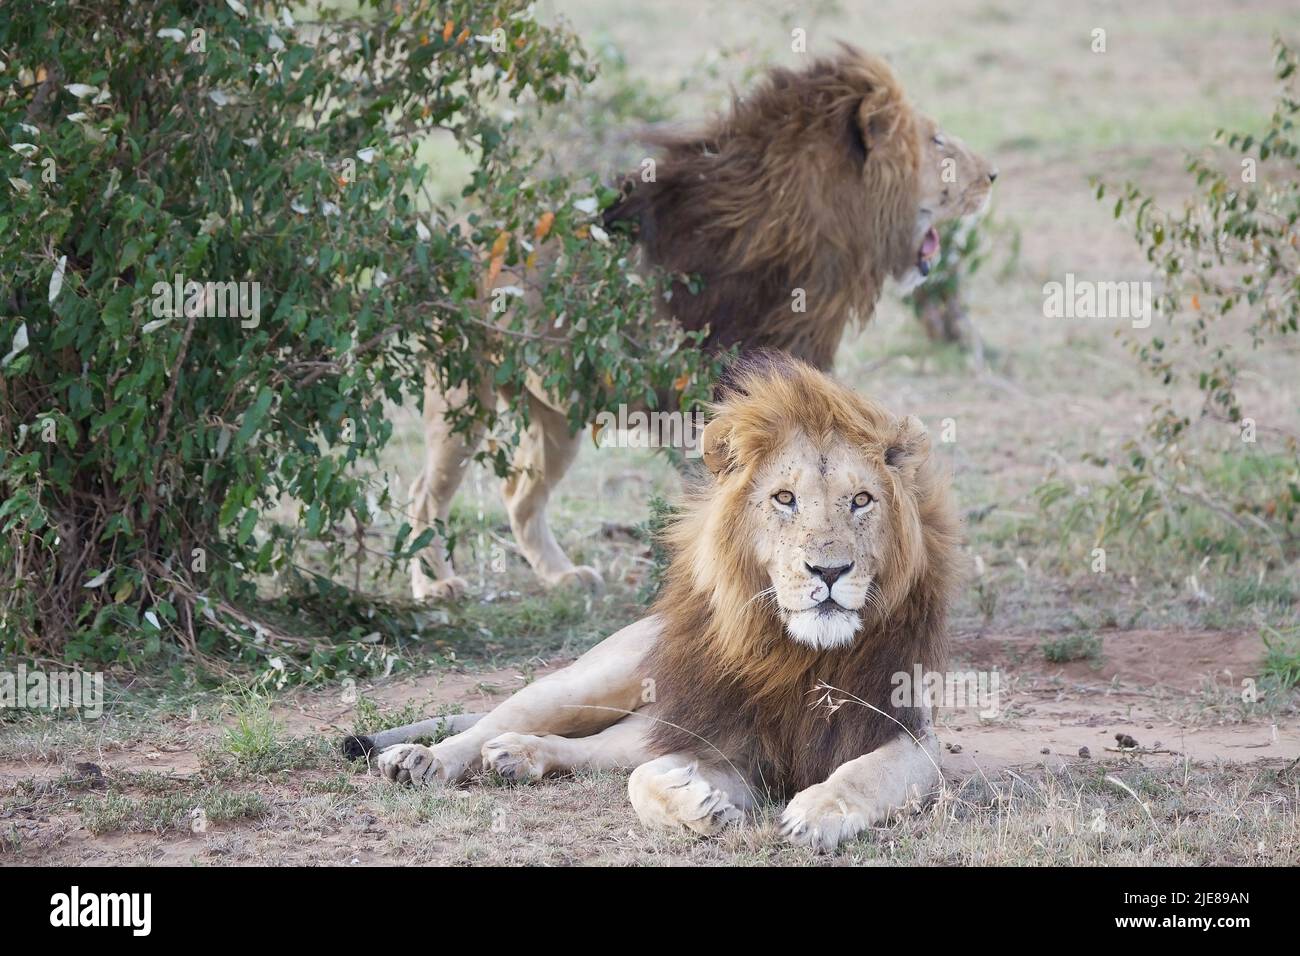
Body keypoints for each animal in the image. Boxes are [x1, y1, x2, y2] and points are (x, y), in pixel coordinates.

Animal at [357, 356, 960, 851]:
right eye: (784, 498)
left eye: (861, 500)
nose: (829, 571)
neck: (798, 654)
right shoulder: (726, 743)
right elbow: (642, 781)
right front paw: (700, 807)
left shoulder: (910, 736)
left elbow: (862, 774)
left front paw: (815, 813)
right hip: (595, 680)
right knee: (501, 721)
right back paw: (422, 759)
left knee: (587, 748)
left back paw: (517, 757)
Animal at [410, 46, 995, 600]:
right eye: (937, 140)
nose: (992, 175)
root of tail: (449, 238)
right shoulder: (704, 401)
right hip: (464, 398)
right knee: (425, 494)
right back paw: (435, 584)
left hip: (556, 417)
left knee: (518, 494)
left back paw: (562, 576)